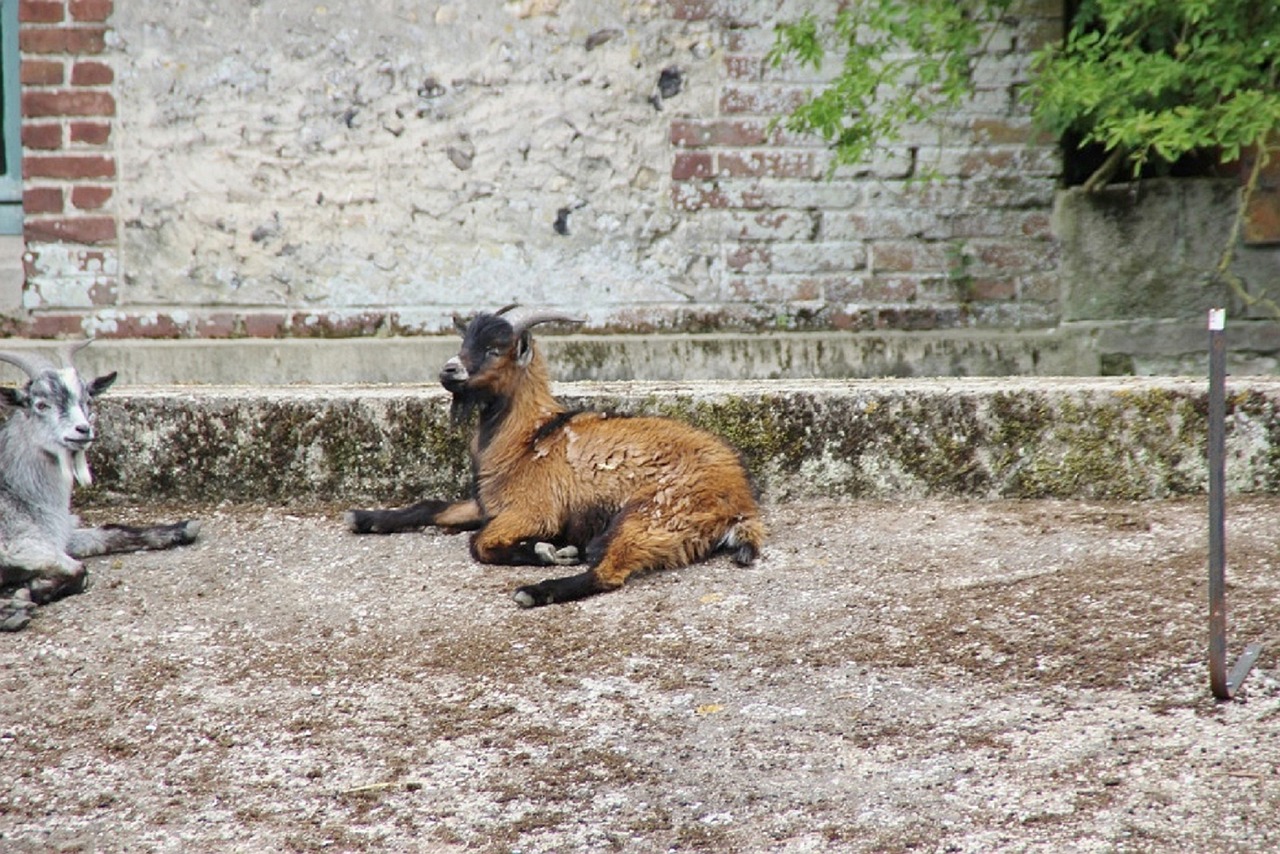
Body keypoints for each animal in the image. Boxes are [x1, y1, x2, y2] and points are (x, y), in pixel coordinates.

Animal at [0, 342, 200, 631]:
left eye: (88, 400)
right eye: (40, 404)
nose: (83, 430)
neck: (19, 493)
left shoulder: (57, 537)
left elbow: (108, 532)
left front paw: (180, 528)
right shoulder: (20, 544)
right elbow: (79, 571)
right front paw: (35, 589)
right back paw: (12, 611)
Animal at [346, 305, 766, 607]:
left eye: (494, 349)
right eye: (464, 342)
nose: (449, 370)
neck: (527, 439)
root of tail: (740, 504)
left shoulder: (532, 511)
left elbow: (479, 543)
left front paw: (545, 551)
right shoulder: (490, 504)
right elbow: (432, 506)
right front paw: (364, 517)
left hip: (654, 514)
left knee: (608, 571)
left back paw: (535, 591)